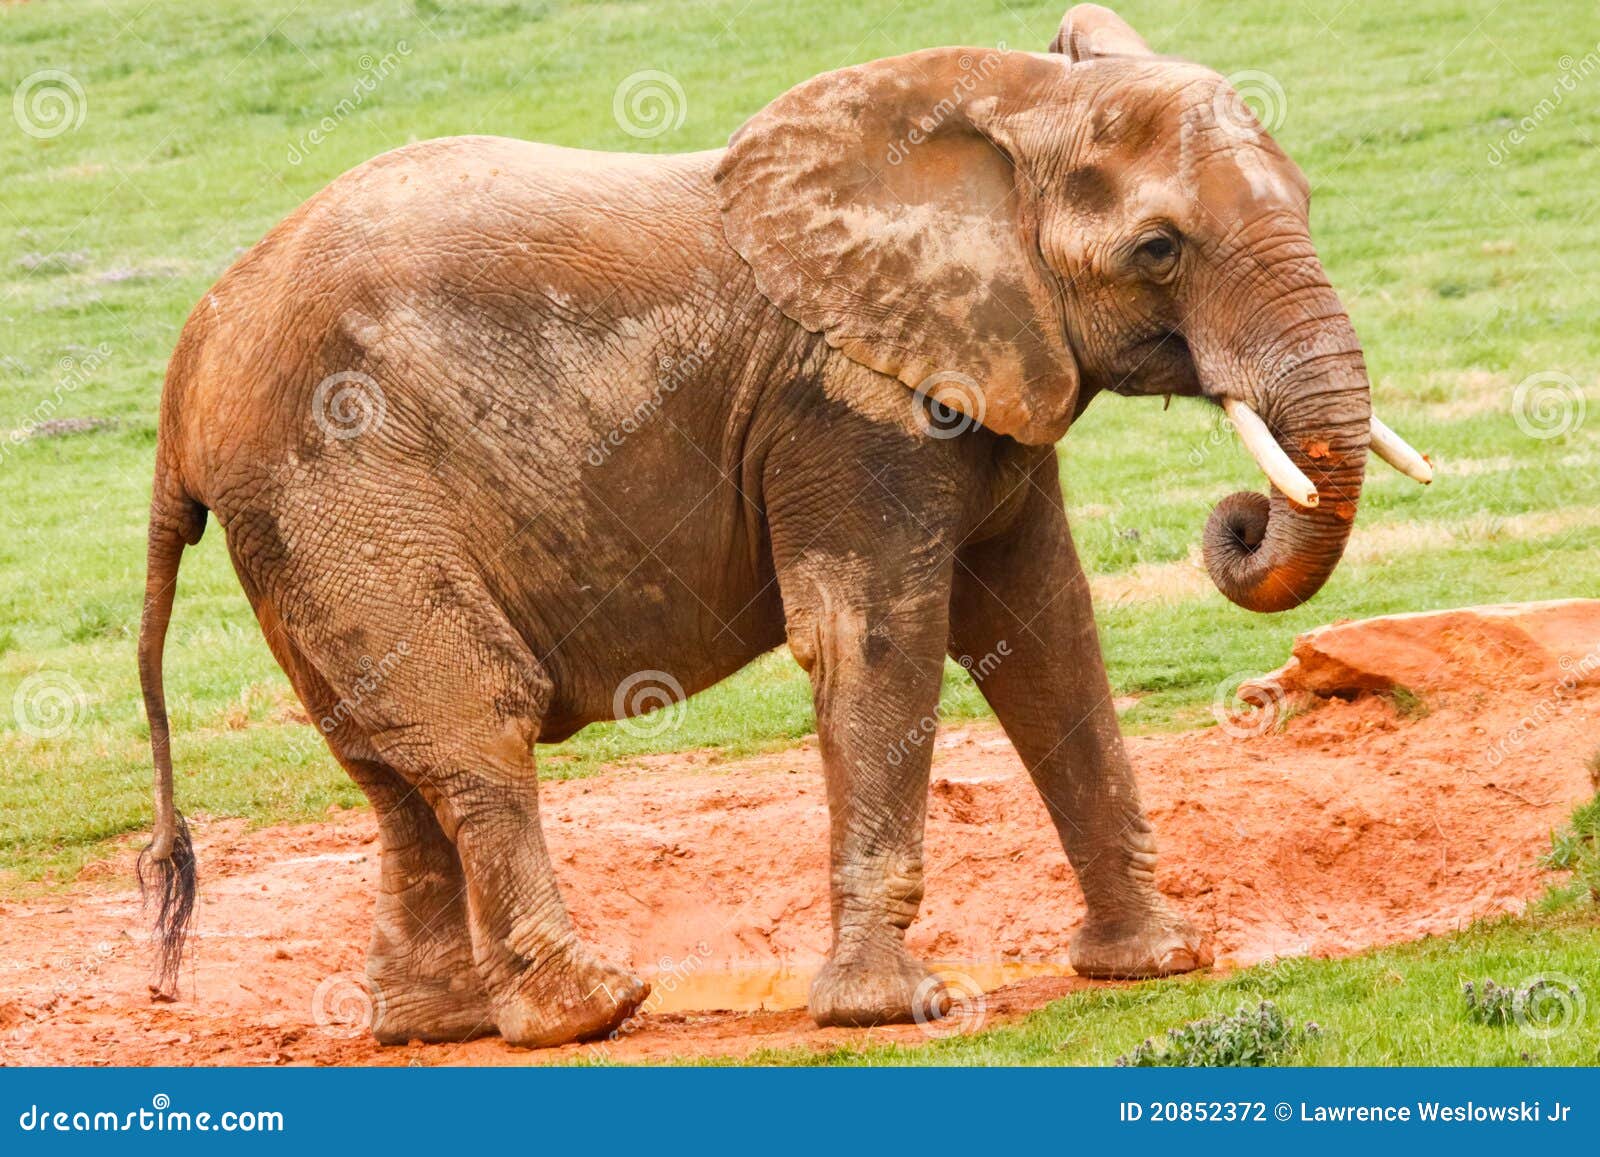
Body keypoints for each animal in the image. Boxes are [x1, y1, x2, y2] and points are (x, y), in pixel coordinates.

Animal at [136, 4, 1429, 1047]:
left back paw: (440, 1026)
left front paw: (1156, 960)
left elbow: (1046, 633)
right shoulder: (845, 405)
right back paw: (589, 1011)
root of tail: (186, 360)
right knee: (472, 721)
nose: (1240, 518)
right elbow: (881, 637)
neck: (1009, 109)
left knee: (384, 758)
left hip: (296, 524)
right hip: (339, 480)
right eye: (1158, 248)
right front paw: (894, 1008)